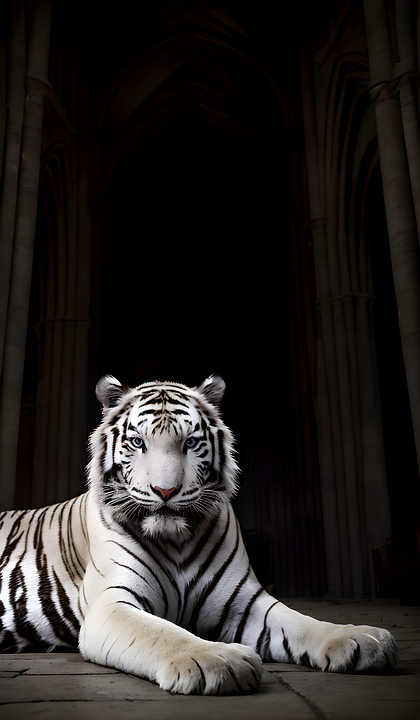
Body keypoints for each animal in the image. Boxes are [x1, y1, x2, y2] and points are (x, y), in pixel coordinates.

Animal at [0, 374, 398, 694]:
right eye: (138, 443)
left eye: (190, 443)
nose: (165, 491)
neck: (176, 540)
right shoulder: (112, 603)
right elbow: (163, 632)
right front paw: (215, 660)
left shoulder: (244, 604)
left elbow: (303, 622)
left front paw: (358, 638)